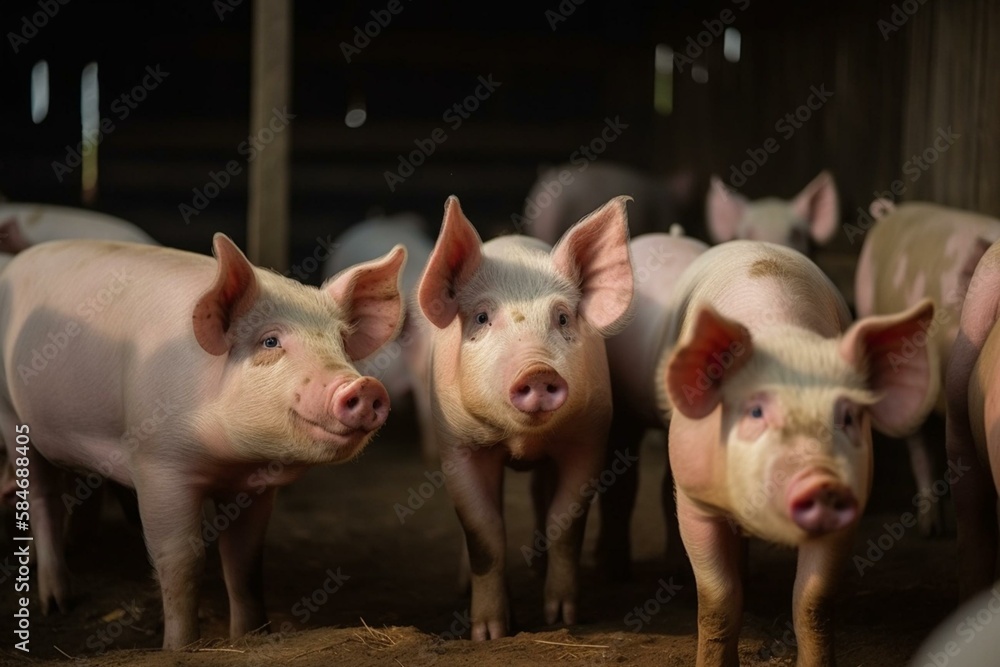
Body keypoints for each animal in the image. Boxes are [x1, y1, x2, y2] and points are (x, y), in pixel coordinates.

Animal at [0, 234, 405, 649]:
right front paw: (180, 647)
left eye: (342, 343)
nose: (365, 386)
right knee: (42, 497)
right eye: (270, 341)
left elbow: (244, 563)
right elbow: (181, 561)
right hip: (11, 416)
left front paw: (250, 638)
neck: (233, 463)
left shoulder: (254, 488)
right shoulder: (159, 466)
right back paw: (57, 603)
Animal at [417, 195, 634, 640]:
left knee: (539, 493)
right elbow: (483, 529)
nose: (538, 371)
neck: (522, 441)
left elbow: (565, 523)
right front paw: (489, 633)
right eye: (482, 317)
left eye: (563, 317)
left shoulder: (588, 438)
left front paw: (563, 619)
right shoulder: (458, 445)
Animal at [659, 241, 936, 665]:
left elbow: (812, 603)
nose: (821, 479)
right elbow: (717, 600)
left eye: (848, 416)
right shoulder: (693, 499)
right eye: (755, 412)